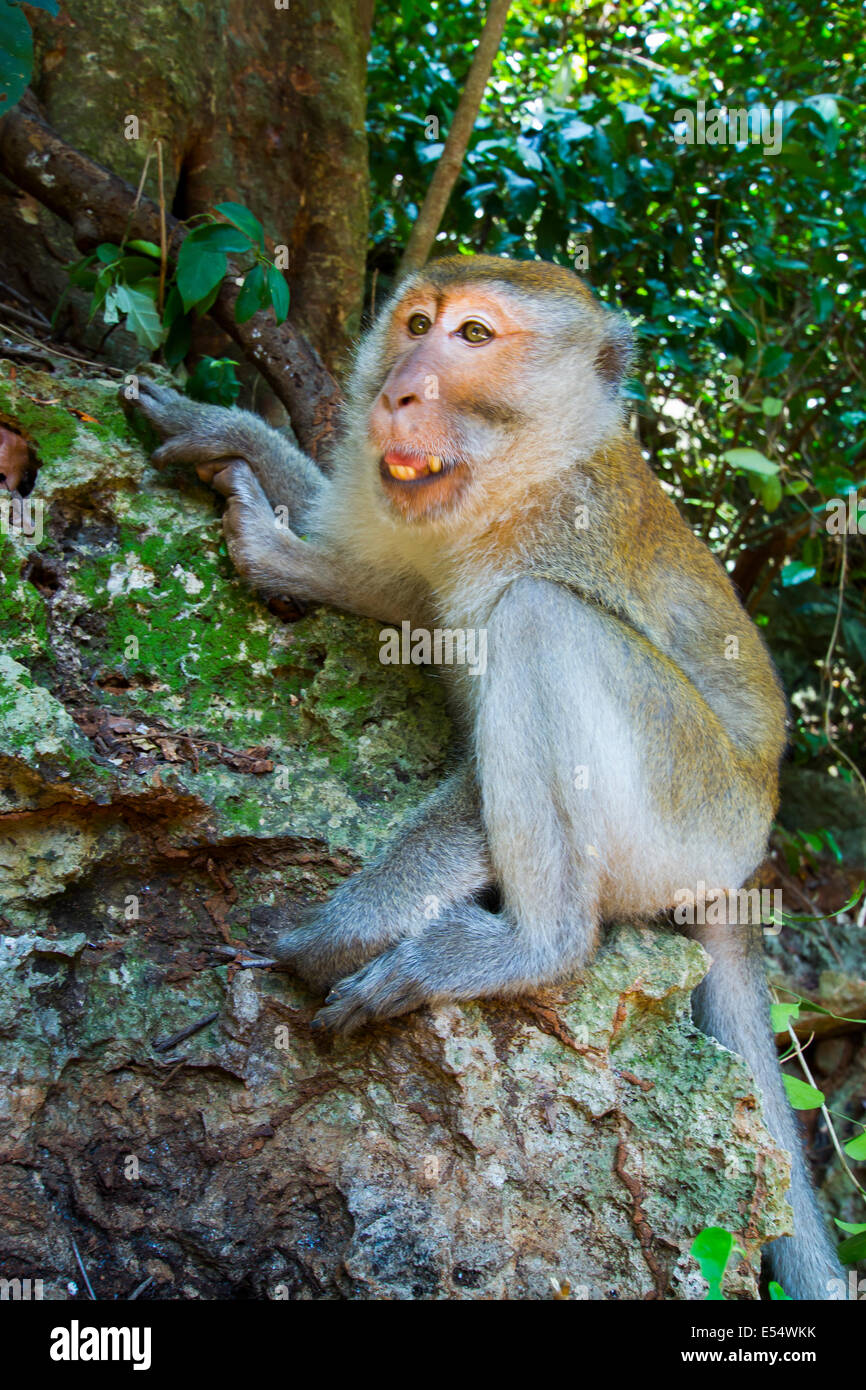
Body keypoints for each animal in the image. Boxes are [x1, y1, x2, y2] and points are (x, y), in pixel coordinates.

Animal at [130, 254, 844, 1300]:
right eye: (416, 323)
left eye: (473, 337)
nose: (399, 389)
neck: (520, 474)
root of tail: (748, 860)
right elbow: (398, 590)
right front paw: (237, 441)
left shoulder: (554, 538)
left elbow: (480, 749)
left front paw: (339, 933)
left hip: (692, 810)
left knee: (540, 621)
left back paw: (530, 949)